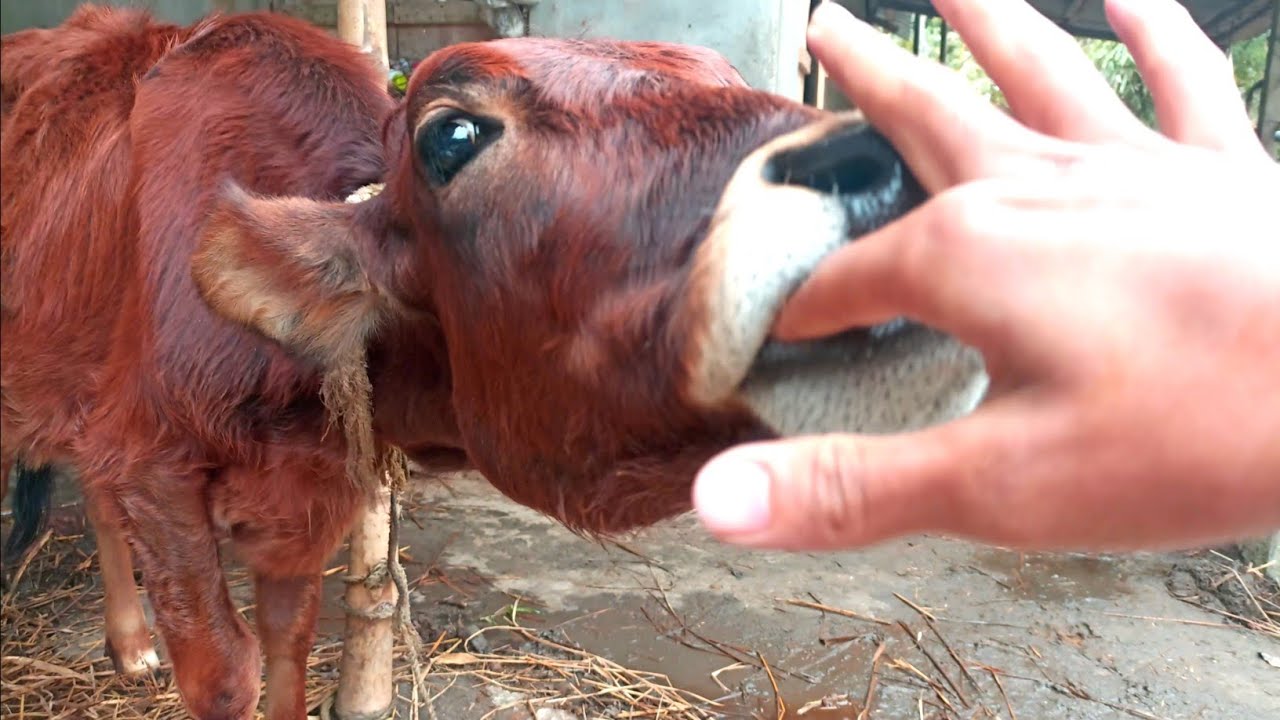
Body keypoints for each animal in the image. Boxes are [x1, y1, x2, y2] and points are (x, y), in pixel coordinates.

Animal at [1, 5, 986, 720]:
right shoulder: (154, 467)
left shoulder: (309, 499)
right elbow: (227, 674)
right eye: (451, 137)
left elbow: (288, 644)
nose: (898, 161)